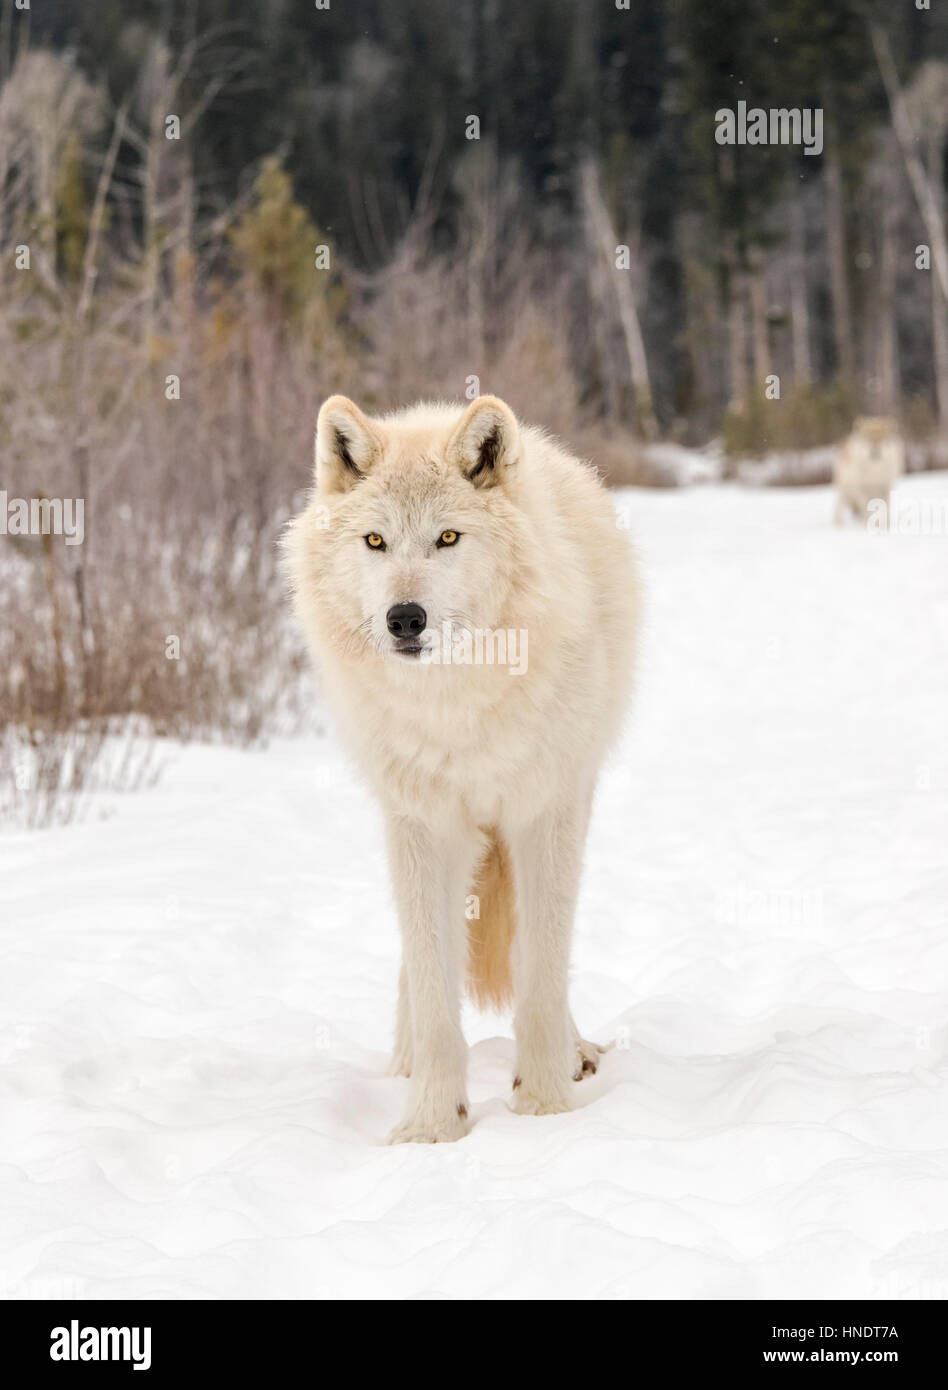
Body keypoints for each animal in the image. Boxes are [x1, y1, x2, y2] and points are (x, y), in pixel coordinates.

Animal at [284, 394, 640, 1143]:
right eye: (375, 542)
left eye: (447, 538)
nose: (405, 618)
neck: (456, 707)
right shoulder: (423, 826)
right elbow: (431, 984)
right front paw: (429, 1123)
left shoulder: (544, 814)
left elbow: (541, 972)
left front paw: (543, 1106)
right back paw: (402, 1062)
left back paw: (573, 1054)